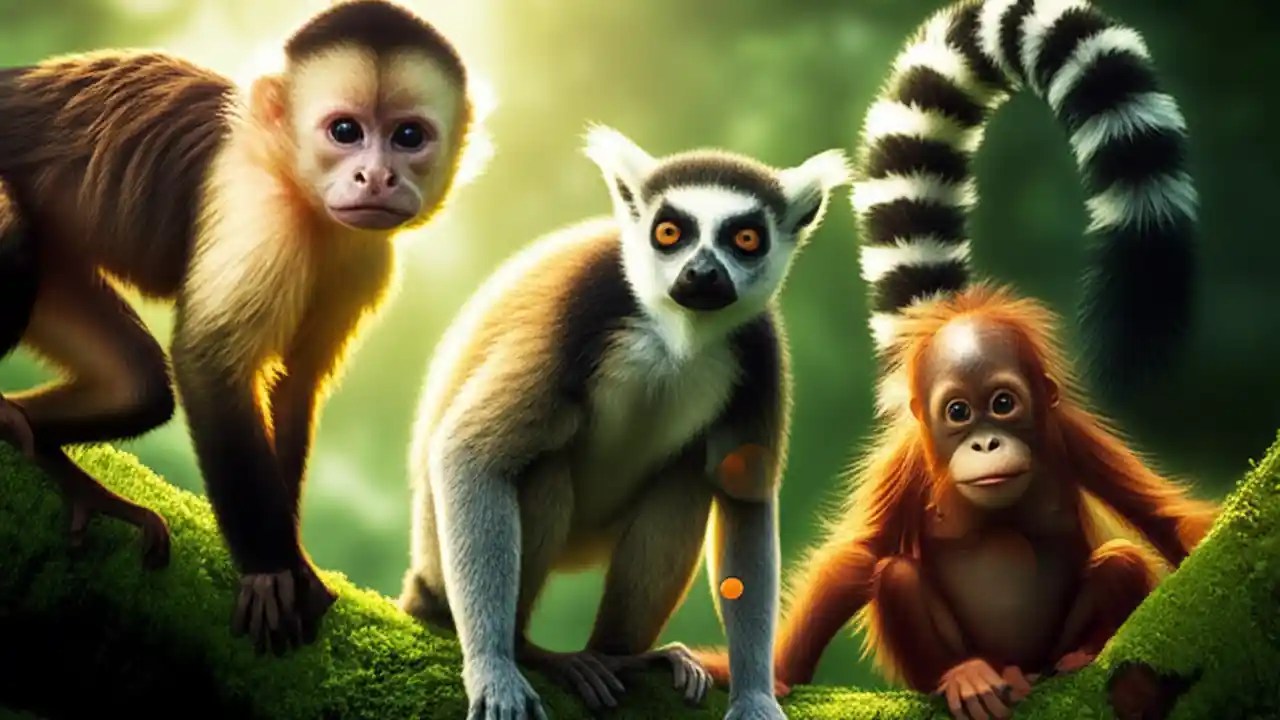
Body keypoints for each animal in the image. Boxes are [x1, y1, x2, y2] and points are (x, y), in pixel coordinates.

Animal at [0, 0, 479, 654]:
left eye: (409, 136)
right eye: (345, 131)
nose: (375, 178)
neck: (300, 190)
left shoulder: (366, 258)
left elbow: (297, 382)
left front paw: (295, 559)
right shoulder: (259, 214)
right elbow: (211, 362)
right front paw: (269, 570)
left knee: (137, 384)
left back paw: (46, 453)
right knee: (14, 237)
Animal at [397, 124, 851, 720]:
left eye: (746, 239)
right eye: (670, 232)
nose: (702, 273)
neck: (677, 333)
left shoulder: (759, 352)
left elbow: (744, 500)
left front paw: (754, 696)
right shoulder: (576, 305)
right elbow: (470, 454)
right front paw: (493, 669)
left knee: (687, 482)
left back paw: (620, 656)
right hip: (439, 561)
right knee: (540, 466)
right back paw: (532, 651)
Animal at [693, 0, 1216, 716]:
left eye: (1004, 404)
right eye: (959, 413)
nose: (986, 443)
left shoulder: (1068, 432)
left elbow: (1162, 521)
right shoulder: (909, 456)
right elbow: (856, 558)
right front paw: (773, 672)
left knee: (1121, 561)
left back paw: (1078, 655)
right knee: (894, 573)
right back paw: (965, 674)